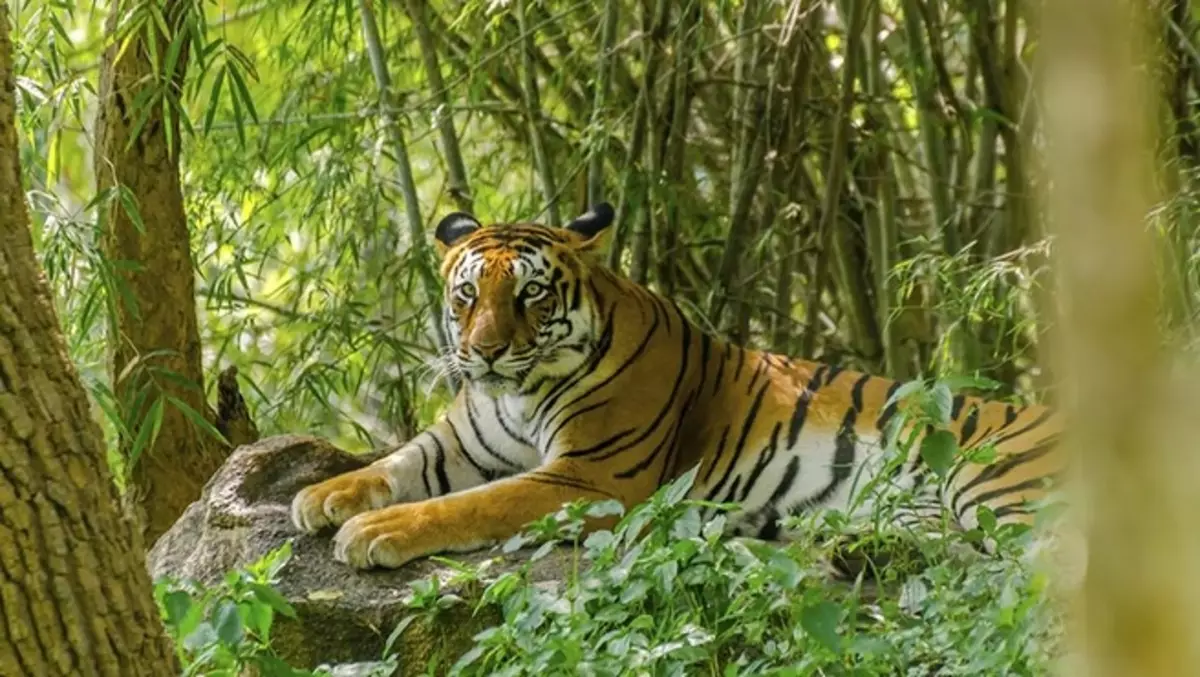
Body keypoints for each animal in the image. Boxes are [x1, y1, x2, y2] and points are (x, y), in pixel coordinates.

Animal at [292, 202, 1070, 571]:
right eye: (466, 295)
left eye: (530, 294)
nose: (482, 352)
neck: (515, 389)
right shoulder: (458, 442)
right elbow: (395, 464)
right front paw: (321, 496)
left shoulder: (589, 477)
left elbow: (471, 504)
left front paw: (375, 530)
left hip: (989, 479)